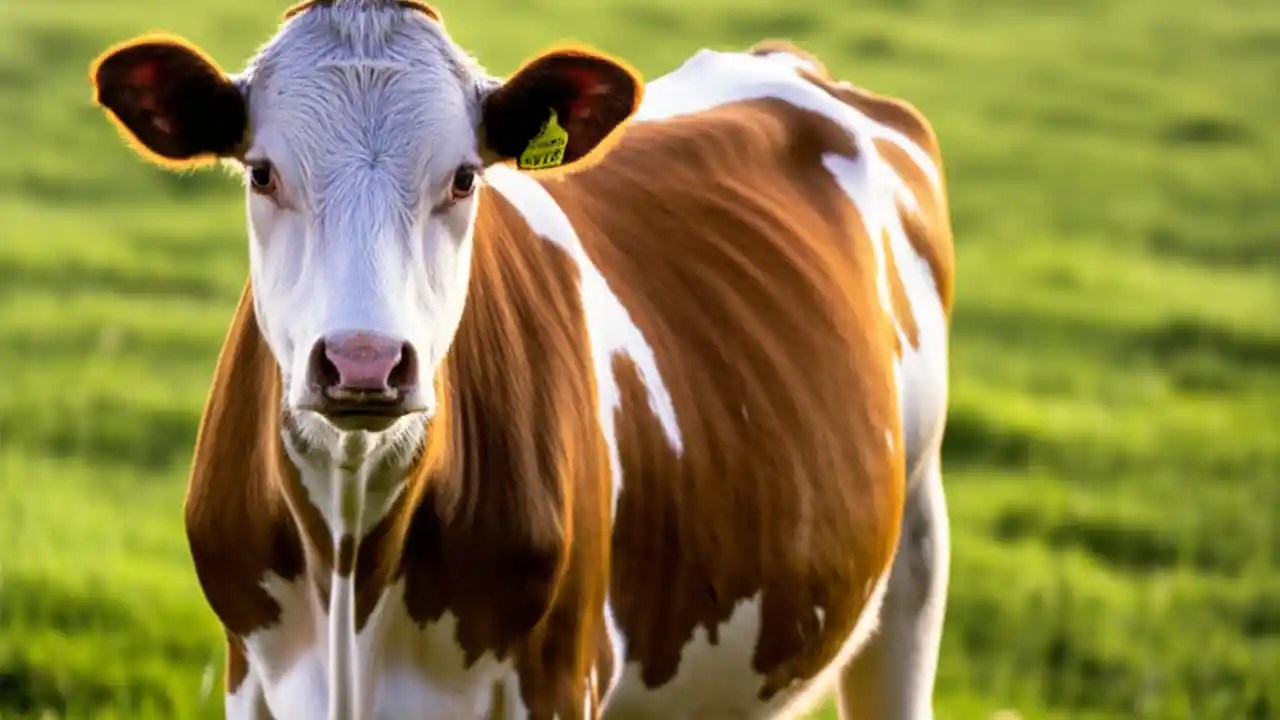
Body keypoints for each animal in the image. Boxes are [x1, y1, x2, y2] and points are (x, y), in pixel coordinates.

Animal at [89, 1, 954, 718]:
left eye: (465, 178)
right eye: (263, 172)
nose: (365, 363)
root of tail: (784, 62)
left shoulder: (561, 675)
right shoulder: (252, 675)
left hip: (914, 553)